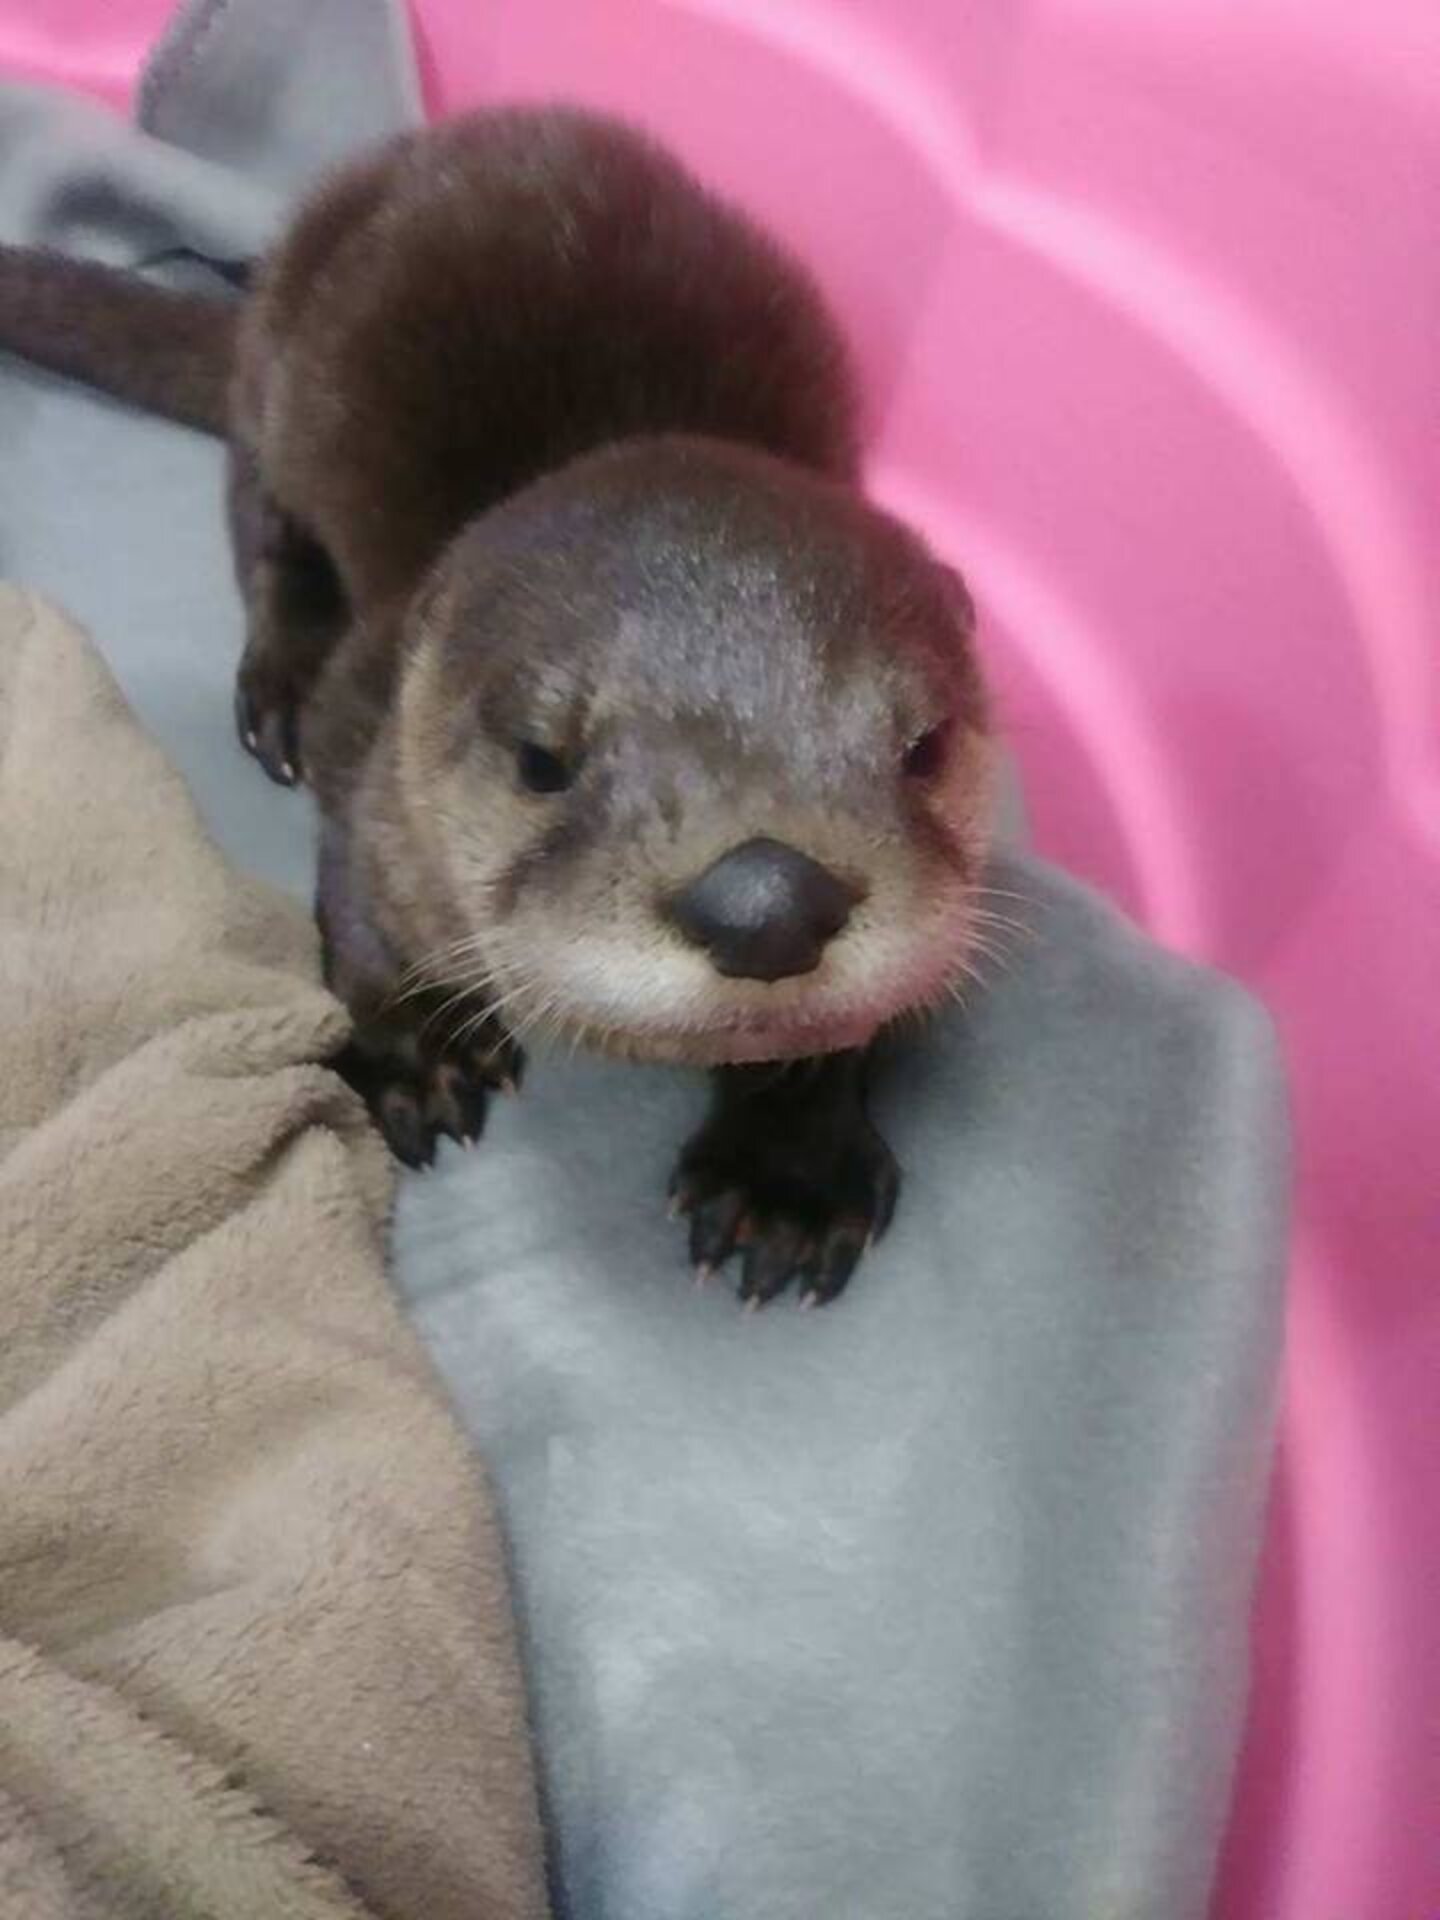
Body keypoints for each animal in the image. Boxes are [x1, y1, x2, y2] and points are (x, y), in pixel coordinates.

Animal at [0, 107, 990, 1306]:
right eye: (541, 759)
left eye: (923, 746)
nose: (768, 901)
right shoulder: (369, 744)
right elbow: (354, 899)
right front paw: (411, 1048)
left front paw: (787, 1168)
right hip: (279, 379)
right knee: (259, 514)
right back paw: (277, 671)